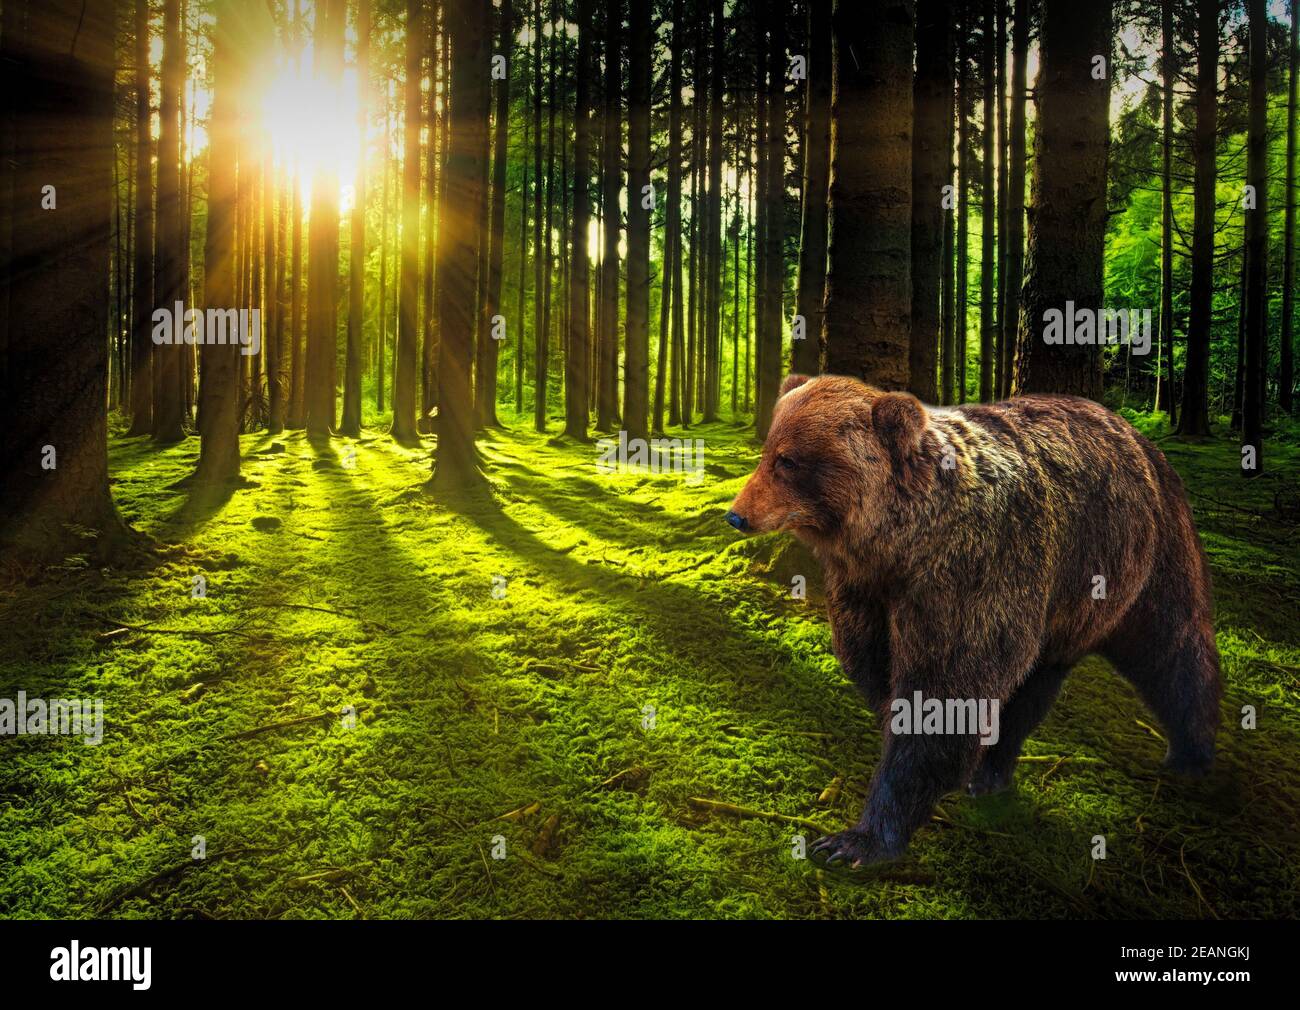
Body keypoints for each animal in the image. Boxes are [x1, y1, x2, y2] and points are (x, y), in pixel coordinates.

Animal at [726, 374, 1221, 869]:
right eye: (769, 451)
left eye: (789, 461)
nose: (736, 514)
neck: (903, 546)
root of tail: (1138, 437)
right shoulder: (865, 592)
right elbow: (874, 668)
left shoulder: (976, 574)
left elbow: (945, 693)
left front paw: (857, 839)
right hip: (1063, 608)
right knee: (1034, 686)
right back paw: (990, 772)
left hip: (1142, 555)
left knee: (1173, 646)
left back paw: (1191, 753)